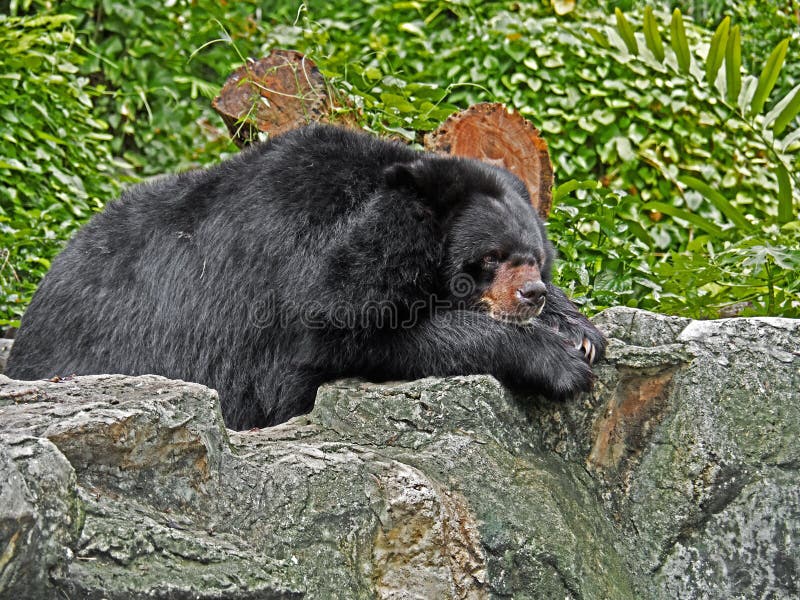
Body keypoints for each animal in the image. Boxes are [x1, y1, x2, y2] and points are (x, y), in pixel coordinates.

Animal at [6, 124, 606, 430]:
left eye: (536, 257)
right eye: (490, 257)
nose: (531, 294)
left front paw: (580, 331)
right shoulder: (296, 294)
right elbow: (358, 342)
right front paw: (558, 360)